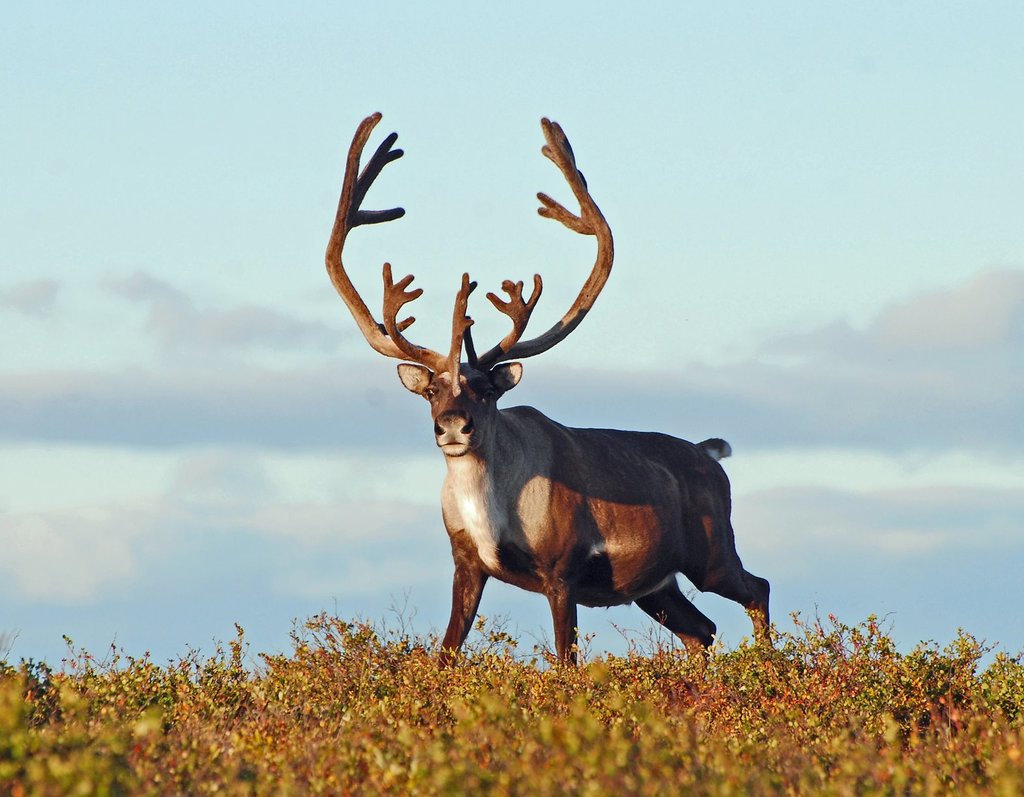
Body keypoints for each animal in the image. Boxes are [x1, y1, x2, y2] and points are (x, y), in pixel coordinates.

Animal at [325, 112, 770, 664]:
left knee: (757, 590)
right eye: (431, 392)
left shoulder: (562, 572)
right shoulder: (466, 565)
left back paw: (773, 664)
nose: (453, 427)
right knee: (702, 629)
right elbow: (446, 653)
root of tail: (709, 453)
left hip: (710, 553)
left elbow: (565, 661)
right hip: (655, 586)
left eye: (487, 390)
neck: (490, 507)